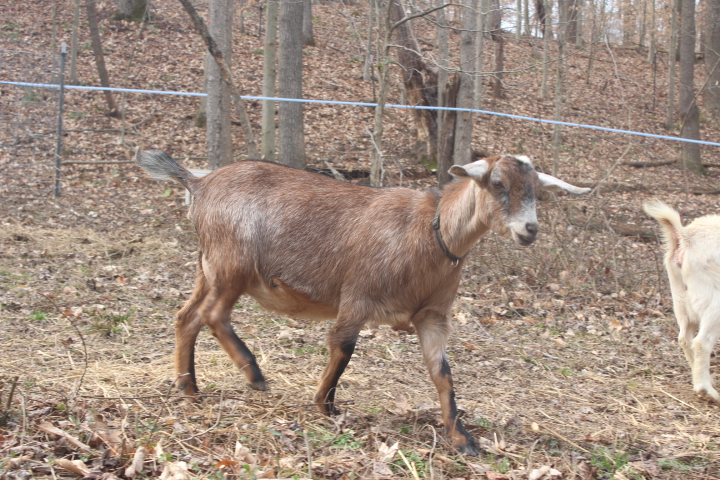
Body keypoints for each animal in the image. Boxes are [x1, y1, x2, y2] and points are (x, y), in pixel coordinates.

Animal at [136, 150, 590, 455]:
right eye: (497, 184)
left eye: (536, 192)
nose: (530, 230)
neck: (431, 232)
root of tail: (199, 184)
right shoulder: (357, 297)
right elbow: (343, 347)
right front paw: (325, 406)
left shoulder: (432, 316)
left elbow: (442, 374)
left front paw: (461, 438)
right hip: (232, 266)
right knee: (212, 315)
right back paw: (253, 373)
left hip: (209, 268)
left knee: (186, 317)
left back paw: (190, 387)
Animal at [644, 200, 720, 404]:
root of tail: (686, 238)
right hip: (714, 303)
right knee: (701, 342)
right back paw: (708, 391)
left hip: (681, 301)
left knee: (685, 338)